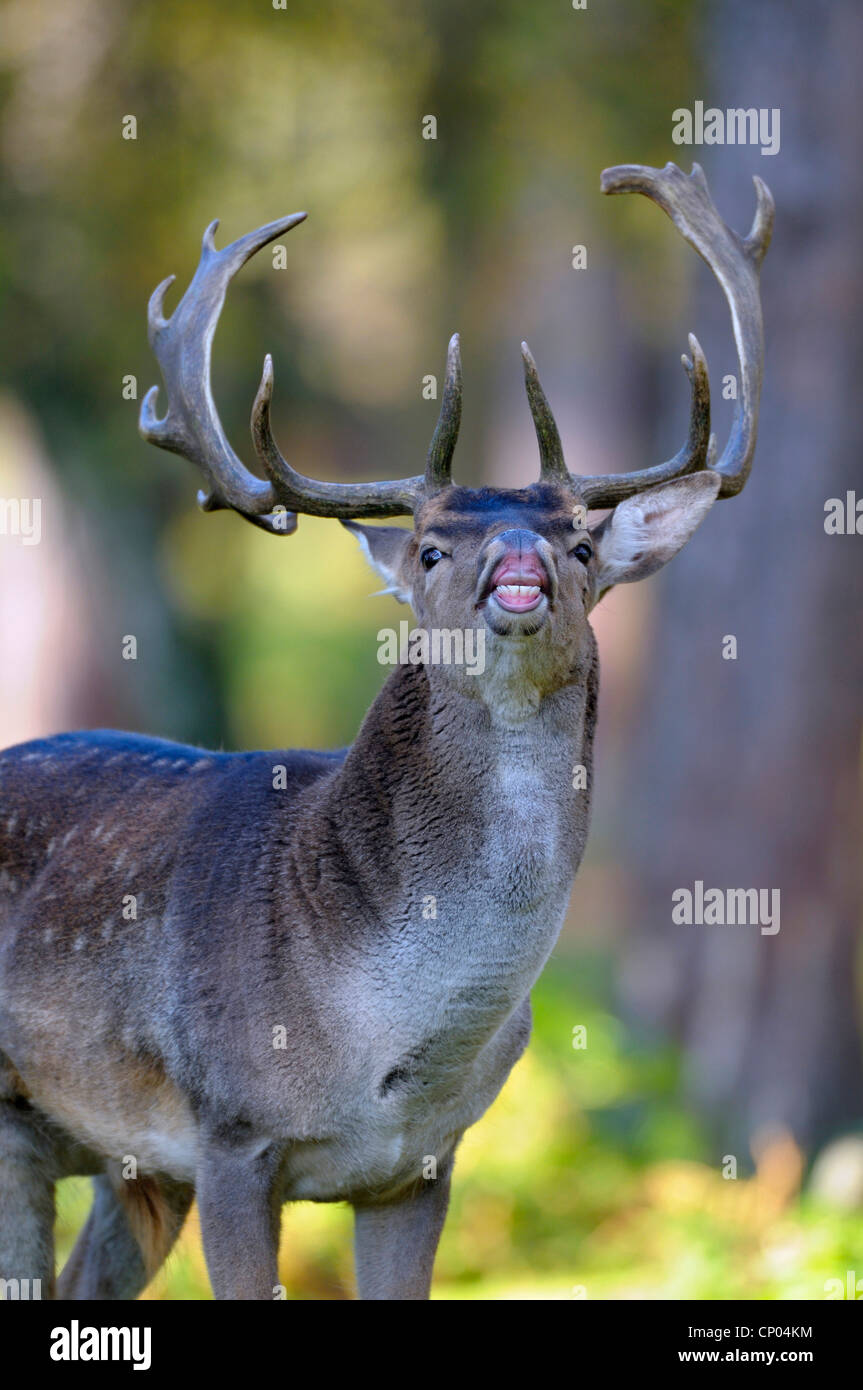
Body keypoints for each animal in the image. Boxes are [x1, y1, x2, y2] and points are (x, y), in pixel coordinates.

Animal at [0, 162, 771, 1301]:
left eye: (581, 543)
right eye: (427, 547)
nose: (516, 563)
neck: (386, 1054)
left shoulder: (421, 1164)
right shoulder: (230, 1131)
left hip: (123, 1165)